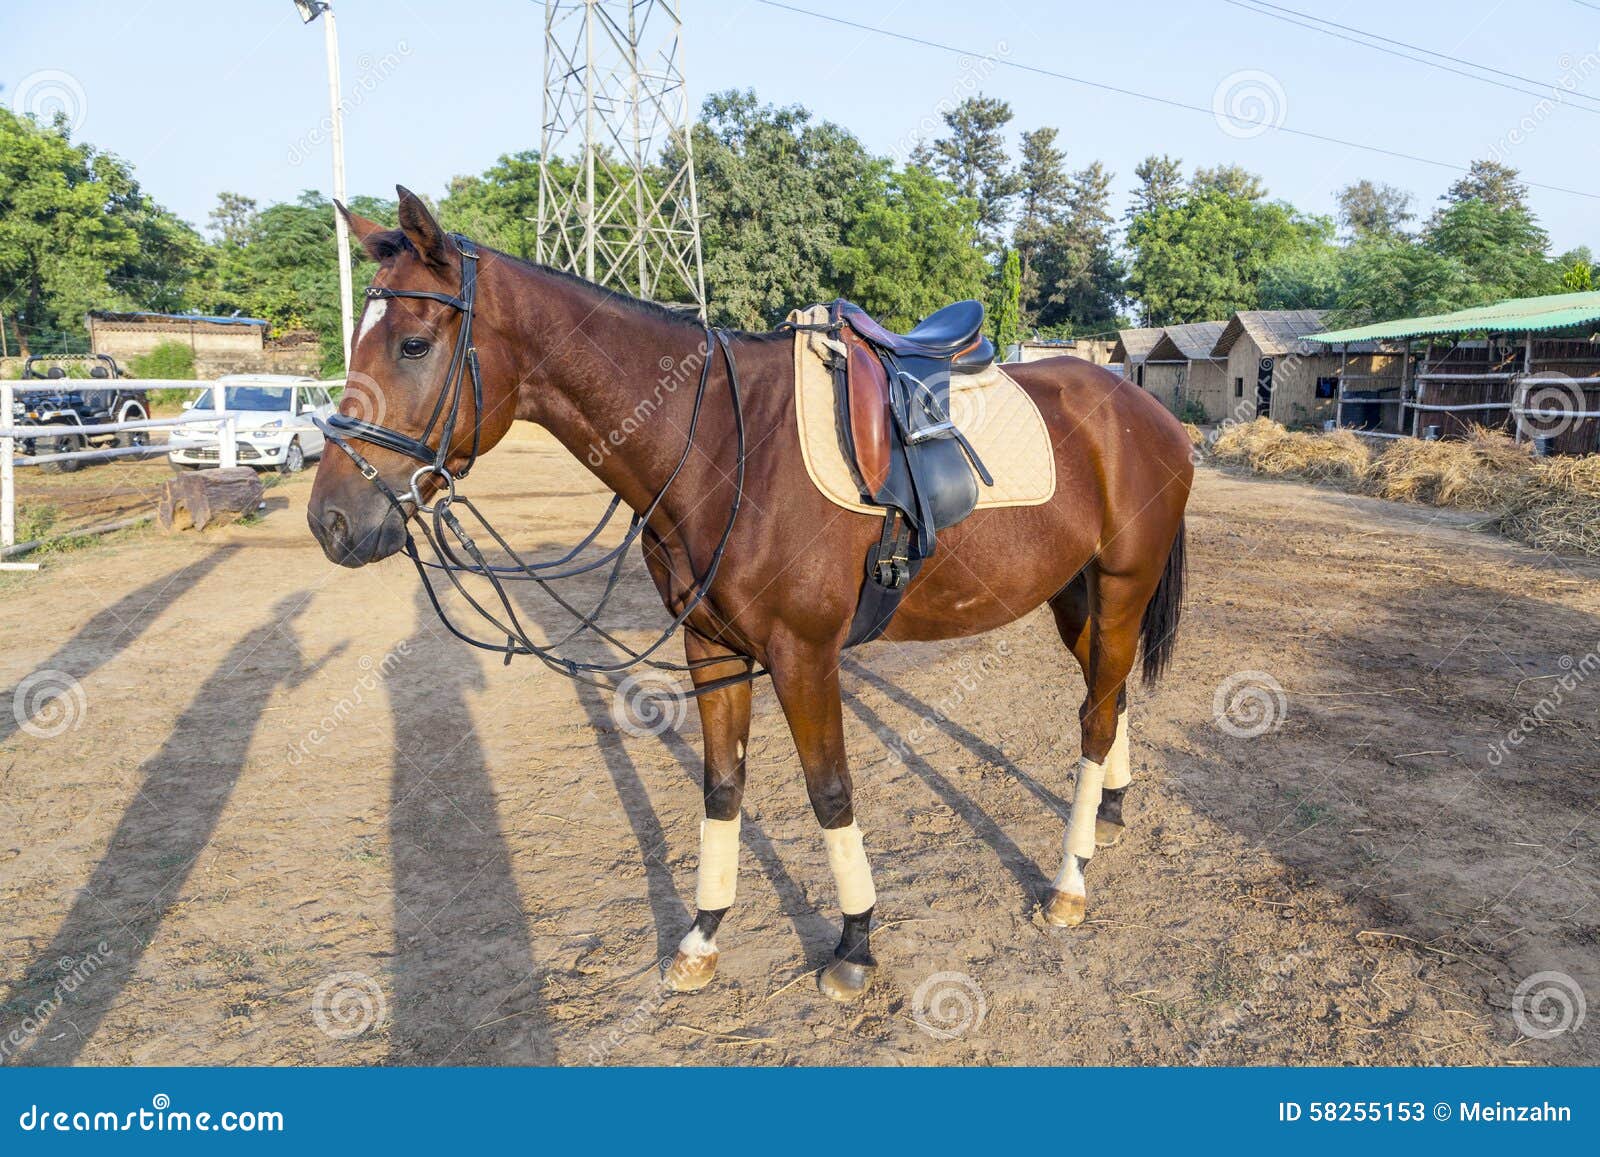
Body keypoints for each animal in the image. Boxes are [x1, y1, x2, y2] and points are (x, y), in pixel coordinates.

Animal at [307, 187, 1194, 1002]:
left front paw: (855, 943)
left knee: (1093, 716)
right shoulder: (712, 647)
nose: (331, 520)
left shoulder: (804, 656)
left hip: (1121, 587)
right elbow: (722, 787)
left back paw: (1069, 882)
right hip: (1075, 597)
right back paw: (1107, 818)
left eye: (414, 343)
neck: (721, 445)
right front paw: (701, 936)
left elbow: (830, 791)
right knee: (1108, 695)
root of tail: (1145, 407)